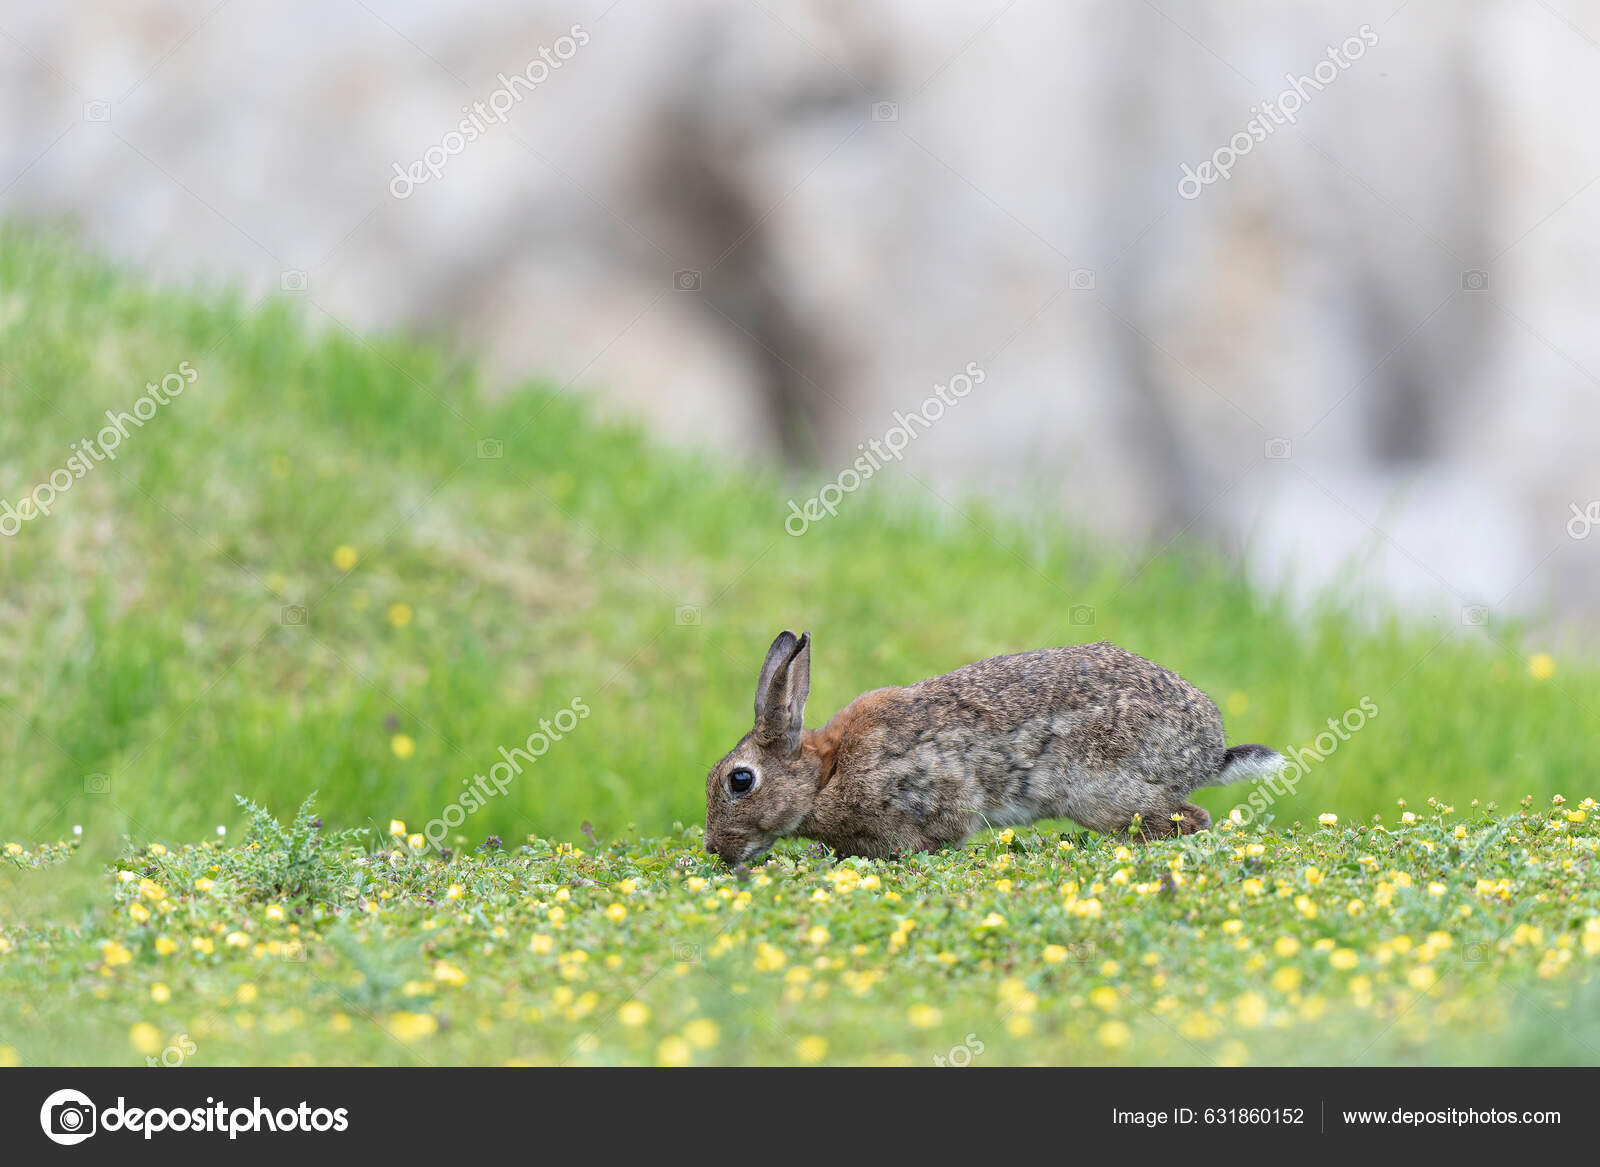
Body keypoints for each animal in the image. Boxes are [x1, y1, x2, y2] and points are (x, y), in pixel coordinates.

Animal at [702, 631, 1284, 864]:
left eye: (740, 780)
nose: (713, 848)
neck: (824, 775)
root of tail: (1207, 749)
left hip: (1105, 789)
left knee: (1188, 820)